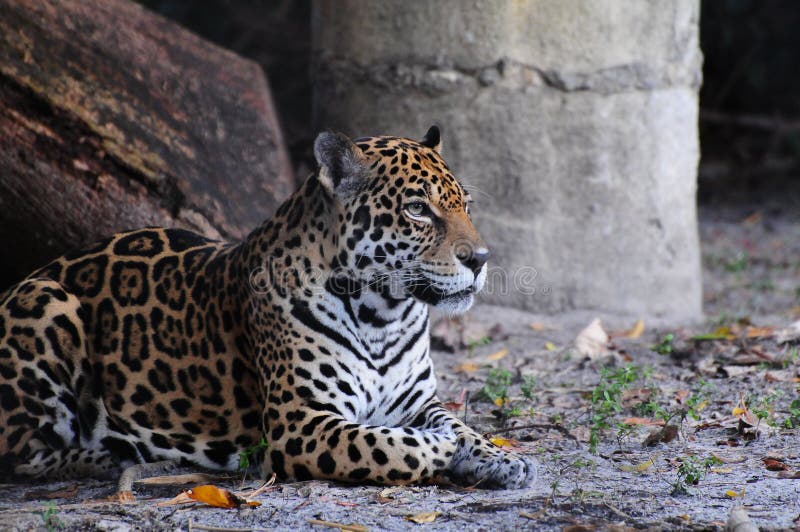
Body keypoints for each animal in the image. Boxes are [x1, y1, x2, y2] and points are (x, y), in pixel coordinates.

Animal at [0, 126, 537, 491]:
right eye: (417, 210)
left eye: (466, 205)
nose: (480, 259)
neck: (382, 314)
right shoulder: (300, 423)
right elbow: (387, 445)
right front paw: (440, 449)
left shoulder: (418, 401)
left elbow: (460, 424)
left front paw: (501, 457)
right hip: (46, 303)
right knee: (21, 454)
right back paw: (108, 456)